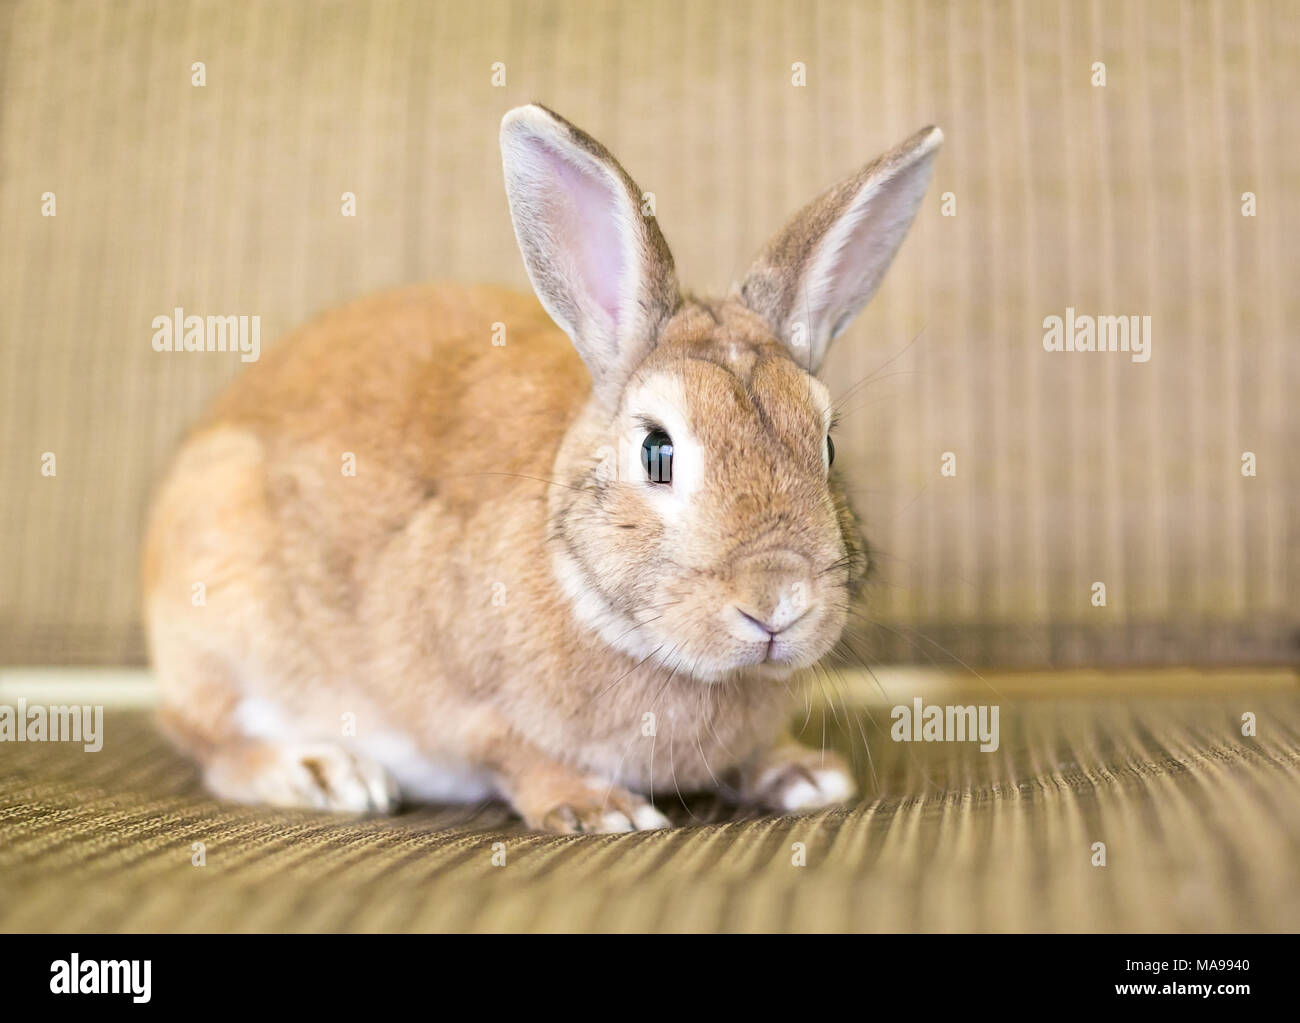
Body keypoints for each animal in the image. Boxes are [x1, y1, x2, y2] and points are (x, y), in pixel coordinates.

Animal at [141, 104, 942, 833]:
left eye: (827, 444)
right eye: (657, 451)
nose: (778, 600)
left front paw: (804, 775)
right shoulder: (462, 704)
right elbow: (513, 752)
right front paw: (600, 808)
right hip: (217, 617)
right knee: (206, 737)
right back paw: (322, 772)